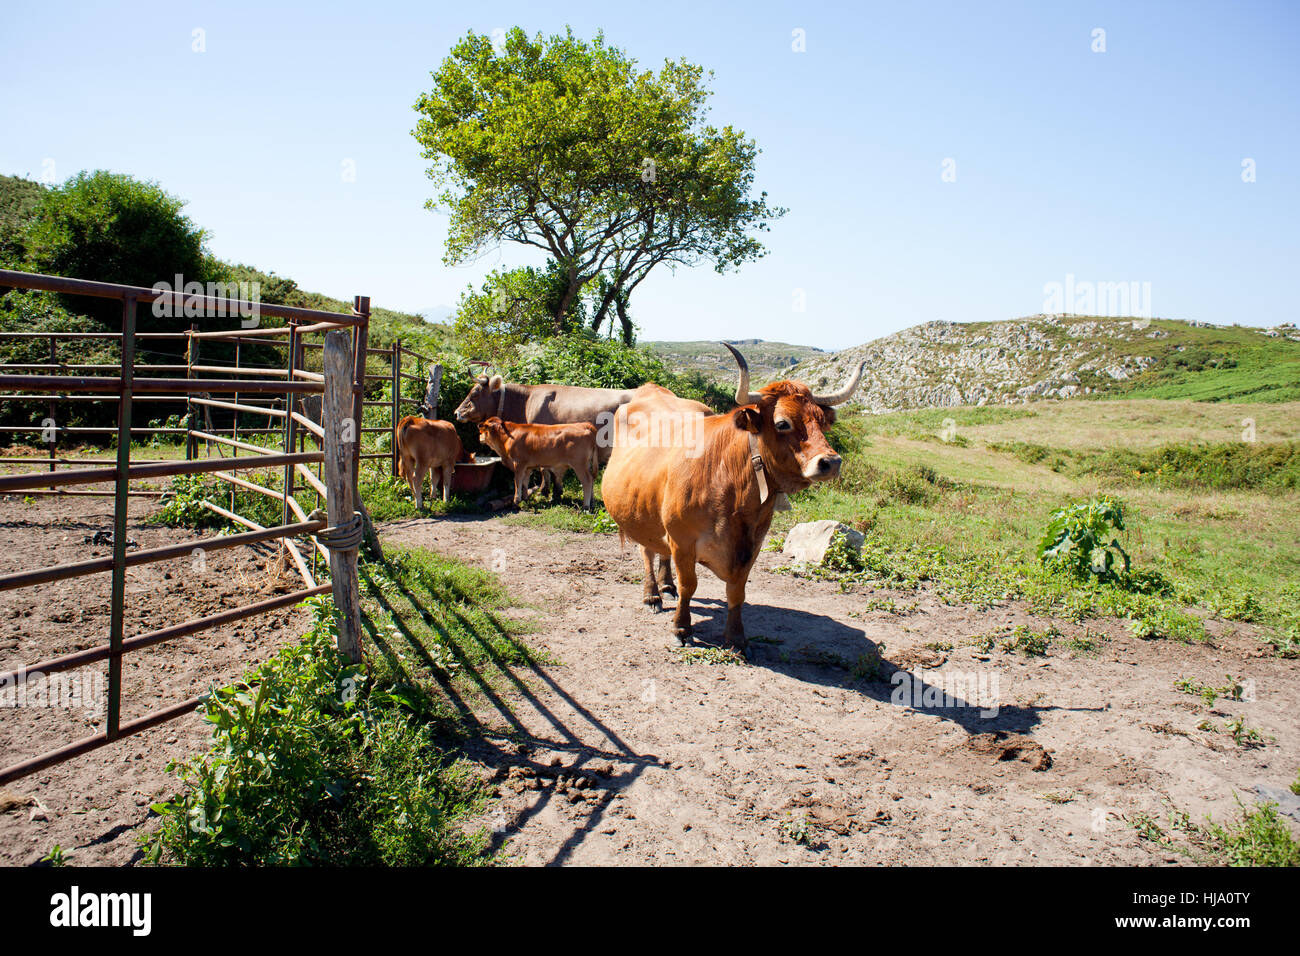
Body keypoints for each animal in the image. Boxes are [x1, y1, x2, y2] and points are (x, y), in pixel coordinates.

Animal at [601, 344, 865, 653]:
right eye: (782, 423)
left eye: (822, 422)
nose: (831, 462)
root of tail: (651, 389)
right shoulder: (683, 540)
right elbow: (689, 585)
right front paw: (681, 627)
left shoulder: (752, 544)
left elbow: (737, 591)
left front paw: (736, 637)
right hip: (640, 515)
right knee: (647, 552)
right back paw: (652, 595)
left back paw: (667, 586)